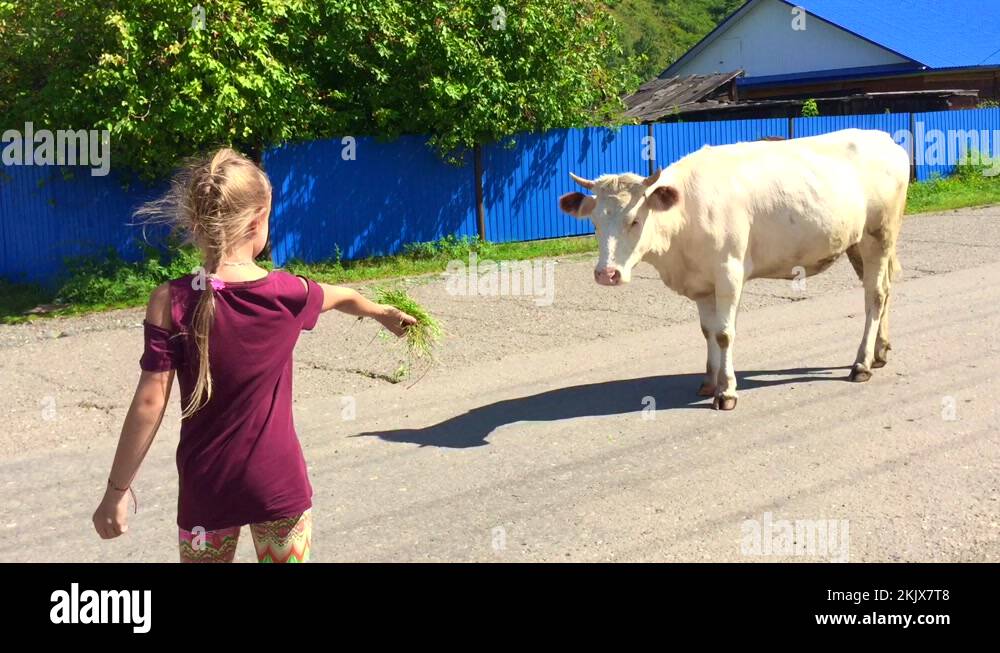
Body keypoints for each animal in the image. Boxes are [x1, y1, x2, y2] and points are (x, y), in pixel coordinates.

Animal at [558, 128, 910, 410]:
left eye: (635, 220)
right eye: (595, 222)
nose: (607, 274)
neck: (685, 216)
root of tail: (884, 138)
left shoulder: (729, 271)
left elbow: (725, 333)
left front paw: (726, 391)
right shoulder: (701, 282)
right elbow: (708, 330)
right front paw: (709, 381)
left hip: (879, 236)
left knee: (875, 296)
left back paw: (862, 364)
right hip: (857, 244)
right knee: (885, 290)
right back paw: (880, 352)